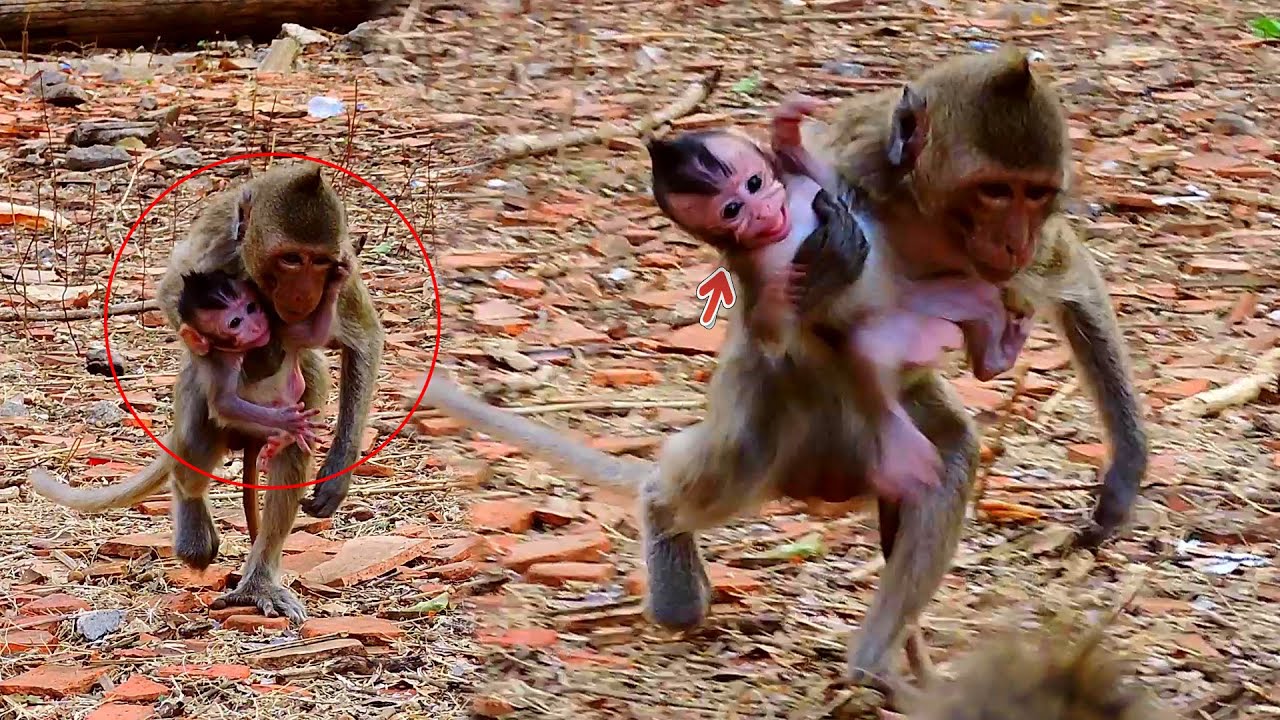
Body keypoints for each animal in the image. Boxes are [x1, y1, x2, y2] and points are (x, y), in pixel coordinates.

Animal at [30, 162, 384, 622]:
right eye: (291, 259)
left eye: (320, 262)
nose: (305, 294)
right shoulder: (215, 249)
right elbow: (173, 300)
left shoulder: (342, 263)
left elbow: (360, 339)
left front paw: (337, 471)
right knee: (199, 431)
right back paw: (192, 514)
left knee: (295, 432)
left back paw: (259, 581)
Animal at [646, 94, 1033, 502]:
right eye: (731, 210)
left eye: (754, 183)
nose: (763, 212)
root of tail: (919, 331)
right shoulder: (754, 260)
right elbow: (770, 330)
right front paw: (817, 271)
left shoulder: (810, 189)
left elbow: (832, 183)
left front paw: (787, 132)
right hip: (883, 333)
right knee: (866, 358)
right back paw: (900, 444)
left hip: (929, 299)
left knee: (979, 297)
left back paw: (996, 356)